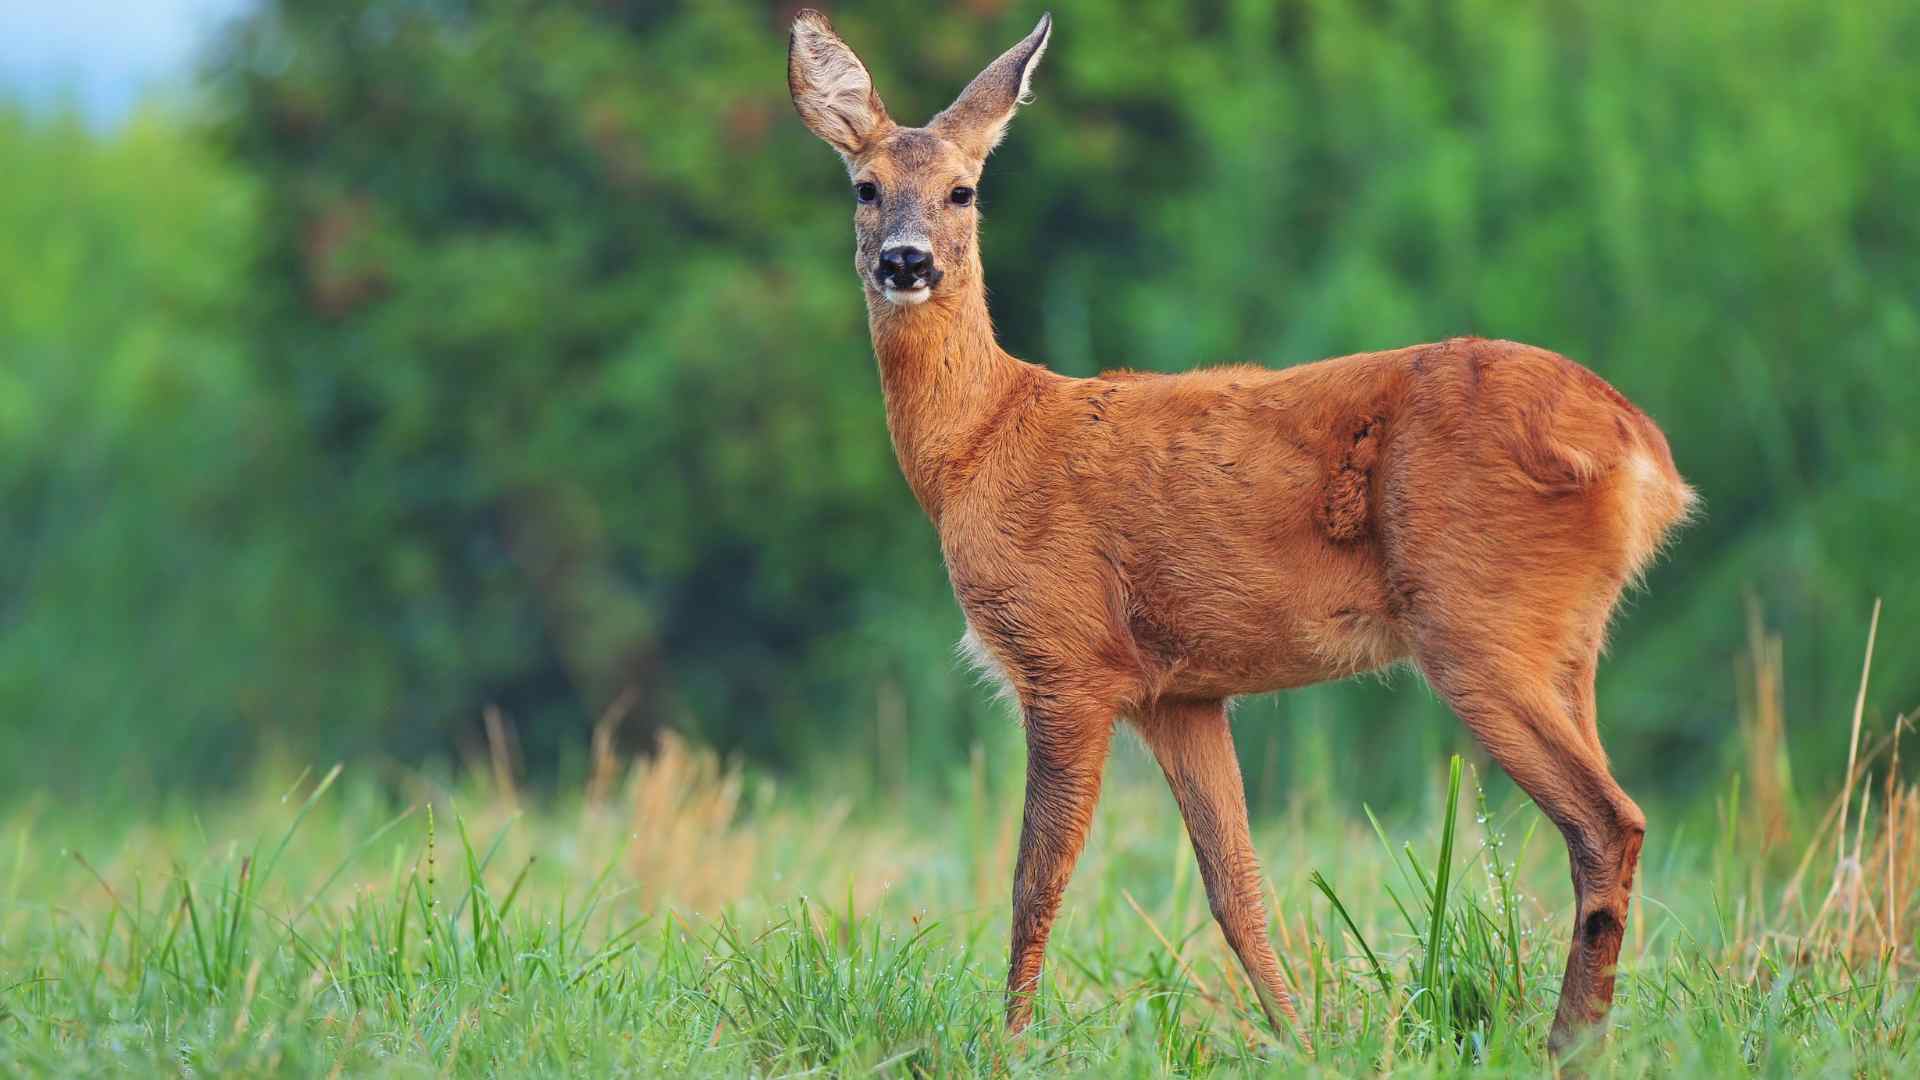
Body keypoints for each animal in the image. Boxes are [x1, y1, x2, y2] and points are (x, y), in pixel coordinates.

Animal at [787, 9, 1695, 1058]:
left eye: (962, 189)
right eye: (865, 187)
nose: (906, 261)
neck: (979, 443)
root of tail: (1643, 454)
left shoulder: (1066, 655)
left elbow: (1034, 881)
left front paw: (1008, 1046)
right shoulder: (1180, 691)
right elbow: (1237, 887)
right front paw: (1302, 1041)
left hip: (1476, 618)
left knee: (1608, 820)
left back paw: (1565, 1045)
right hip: (1569, 638)